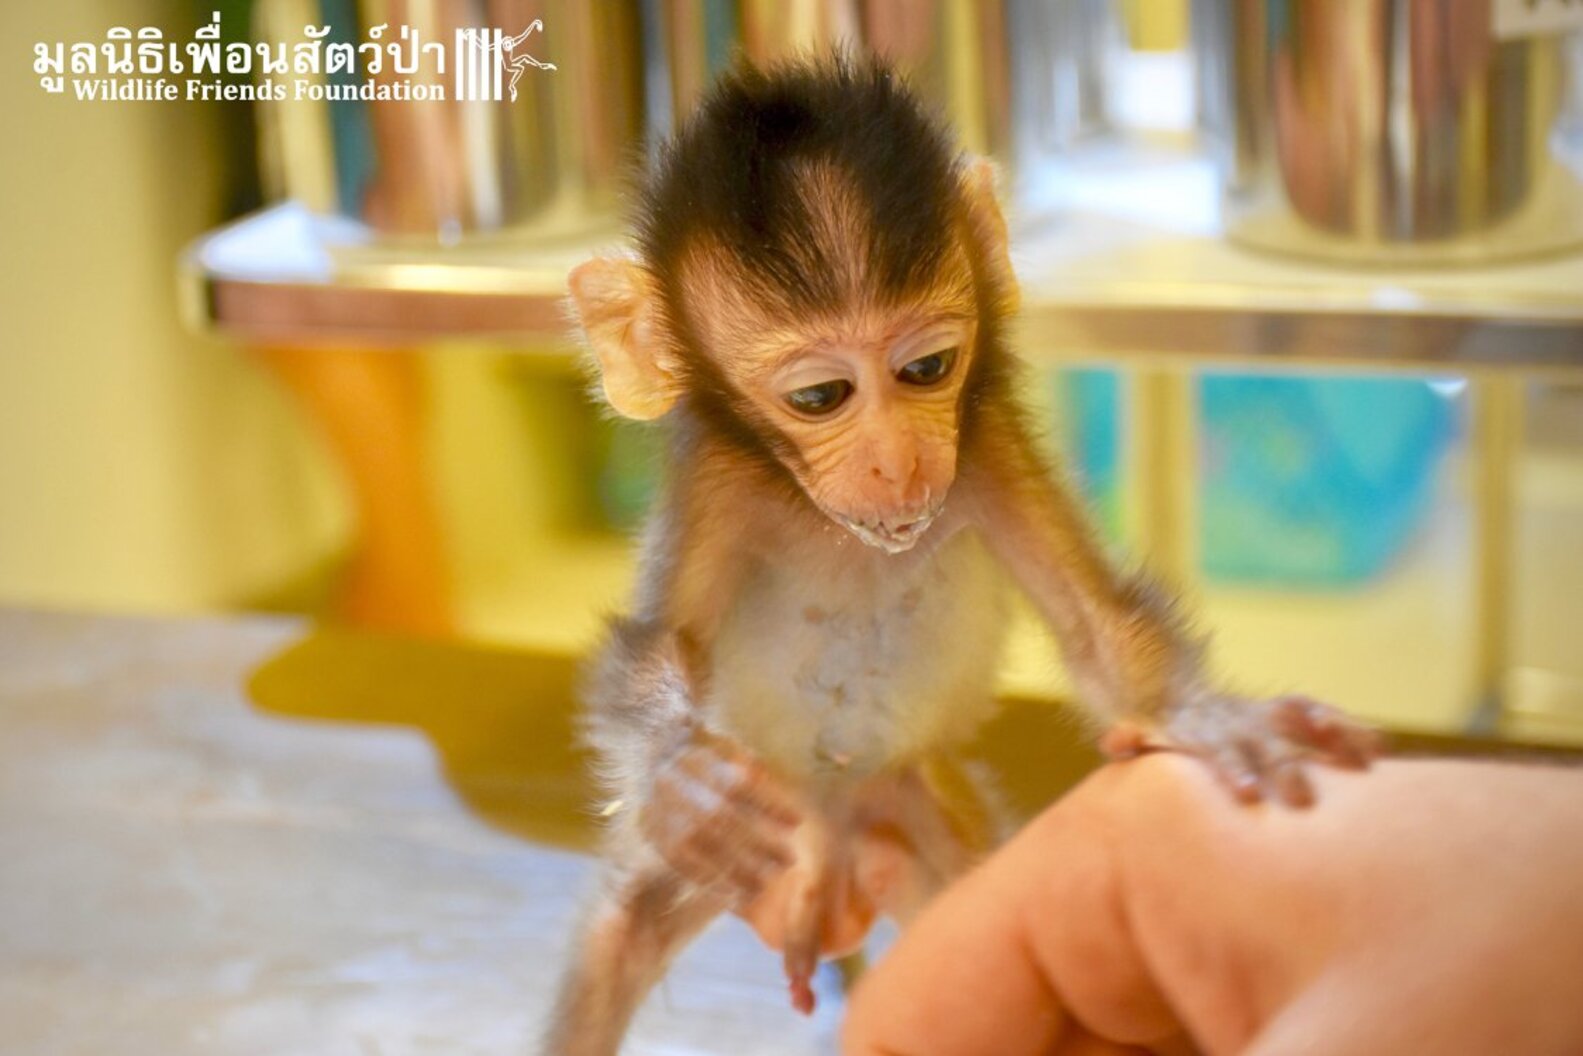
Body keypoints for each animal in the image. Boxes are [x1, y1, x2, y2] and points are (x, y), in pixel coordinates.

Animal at [544, 53, 1379, 1055]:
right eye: (820, 396)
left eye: (925, 371)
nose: (897, 460)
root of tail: (830, 854)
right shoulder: (718, 482)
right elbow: (653, 648)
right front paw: (677, 774)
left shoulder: (986, 447)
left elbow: (1093, 620)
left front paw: (1200, 719)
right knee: (618, 933)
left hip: (914, 818)